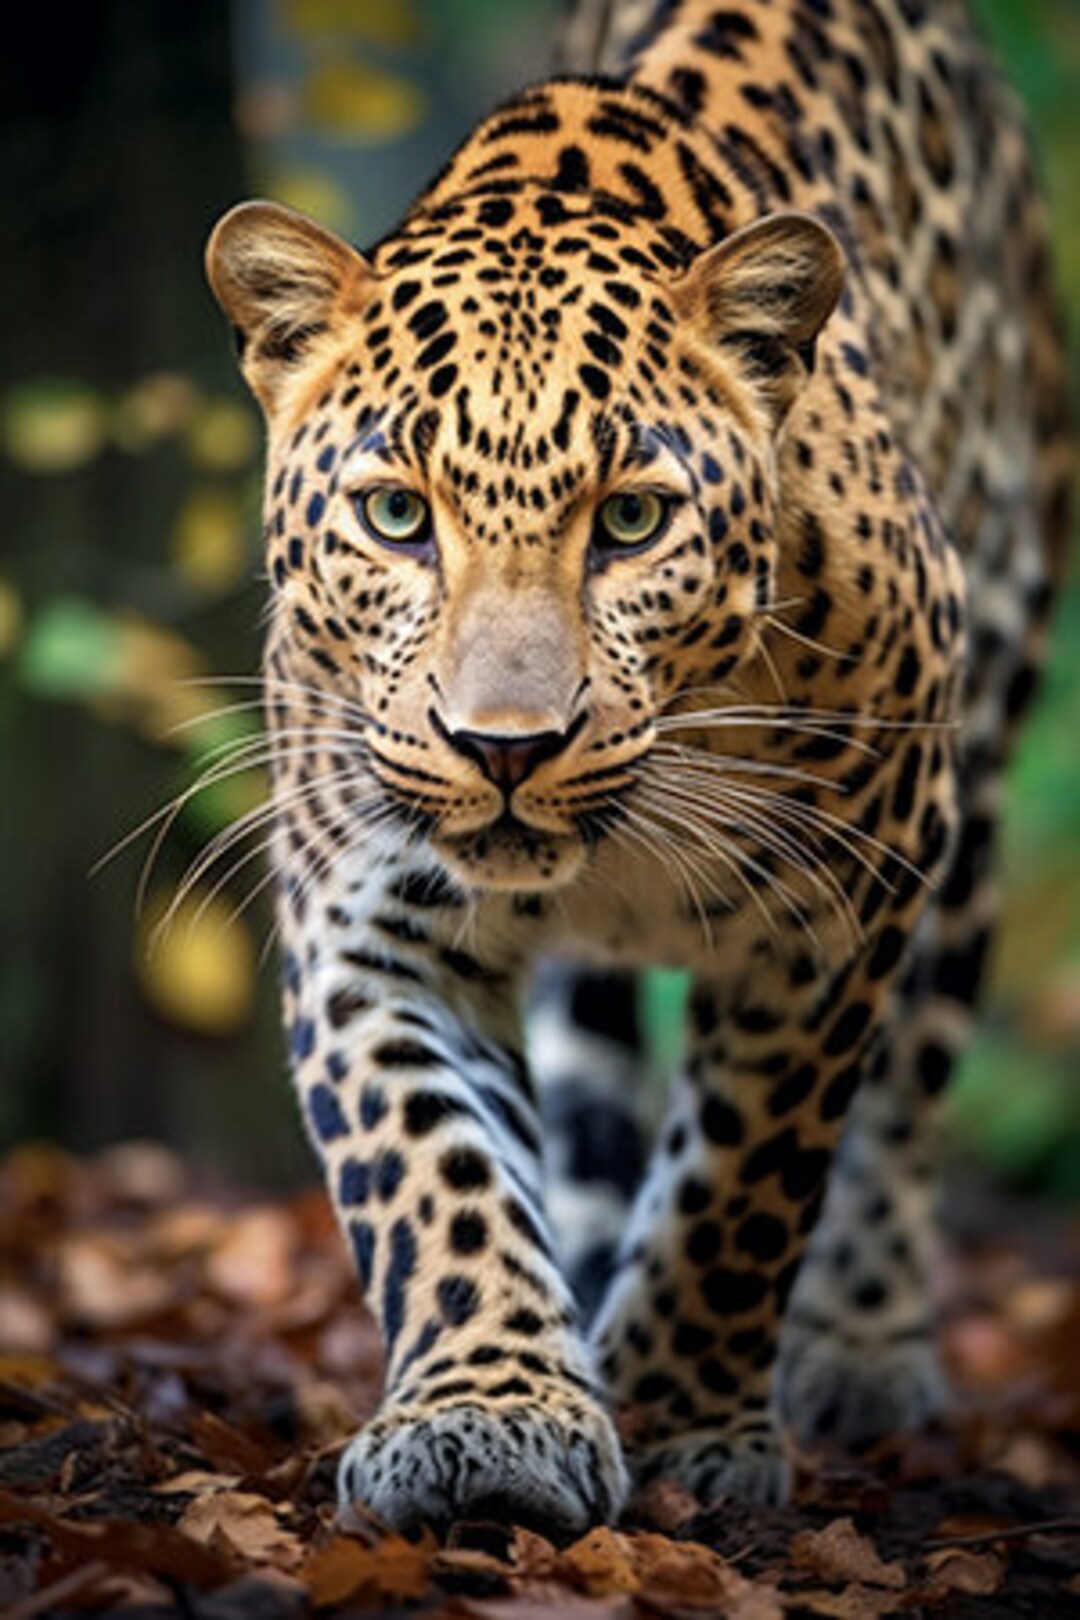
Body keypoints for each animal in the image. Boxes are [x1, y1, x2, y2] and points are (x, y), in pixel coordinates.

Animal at [204, 0, 1071, 1538]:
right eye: (395, 515)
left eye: (631, 521)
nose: (505, 748)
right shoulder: (370, 917)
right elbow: (437, 1172)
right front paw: (493, 1417)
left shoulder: (838, 911)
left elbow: (747, 1176)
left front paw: (679, 1416)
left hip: (980, 762)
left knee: (909, 1088)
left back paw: (860, 1345)